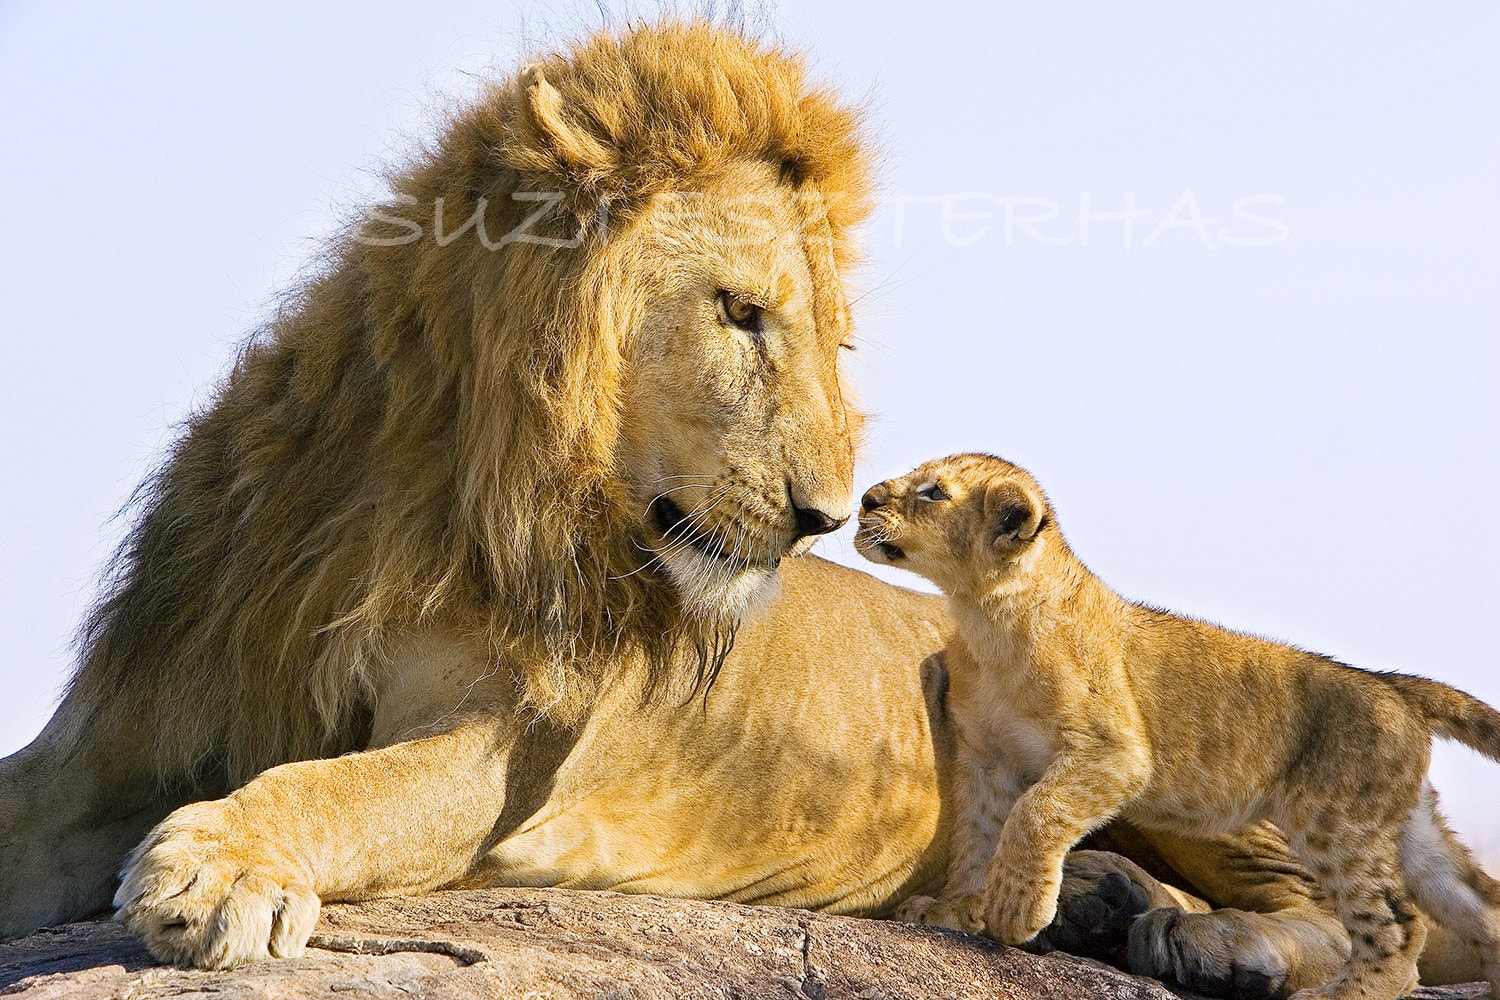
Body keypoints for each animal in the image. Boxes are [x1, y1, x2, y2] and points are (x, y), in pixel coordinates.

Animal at [0, 19, 1484, 995]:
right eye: (738, 314)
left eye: (831, 337)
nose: (828, 515)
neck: (423, 488)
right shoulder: (123, 730)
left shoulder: (506, 755)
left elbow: (344, 783)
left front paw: (217, 867)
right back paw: (1091, 907)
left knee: (1376, 923)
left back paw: (1215, 941)